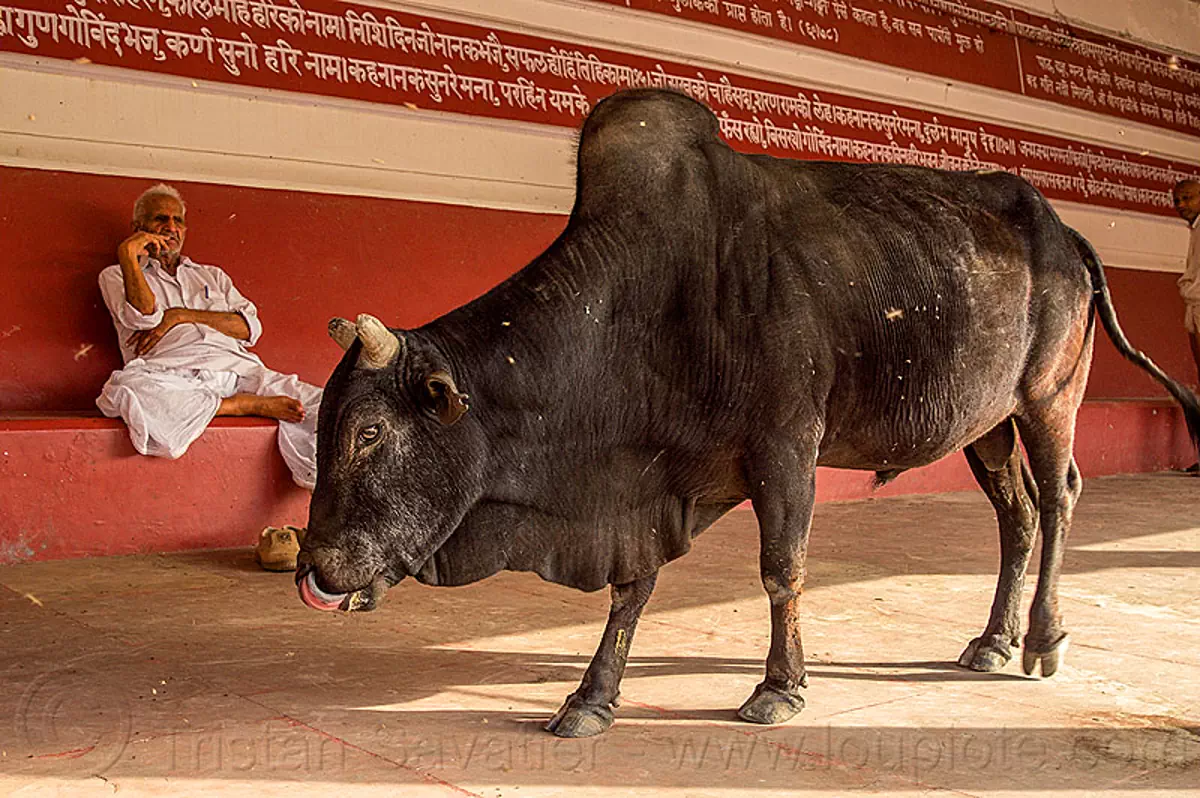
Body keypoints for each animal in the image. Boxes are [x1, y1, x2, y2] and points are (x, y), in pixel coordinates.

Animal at [296, 88, 1200, 738]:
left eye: (370, 432)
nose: (315, 566)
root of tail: (1063, 228)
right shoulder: (650, 479)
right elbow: (632, 587)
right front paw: (591, 699)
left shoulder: (783, 449)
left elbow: (781, 569)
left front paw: (780, 687)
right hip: (986, 426)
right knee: (1017, 515)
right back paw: (993, 640)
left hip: (1049, 399)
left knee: (1060, 499)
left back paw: (1042, 639)